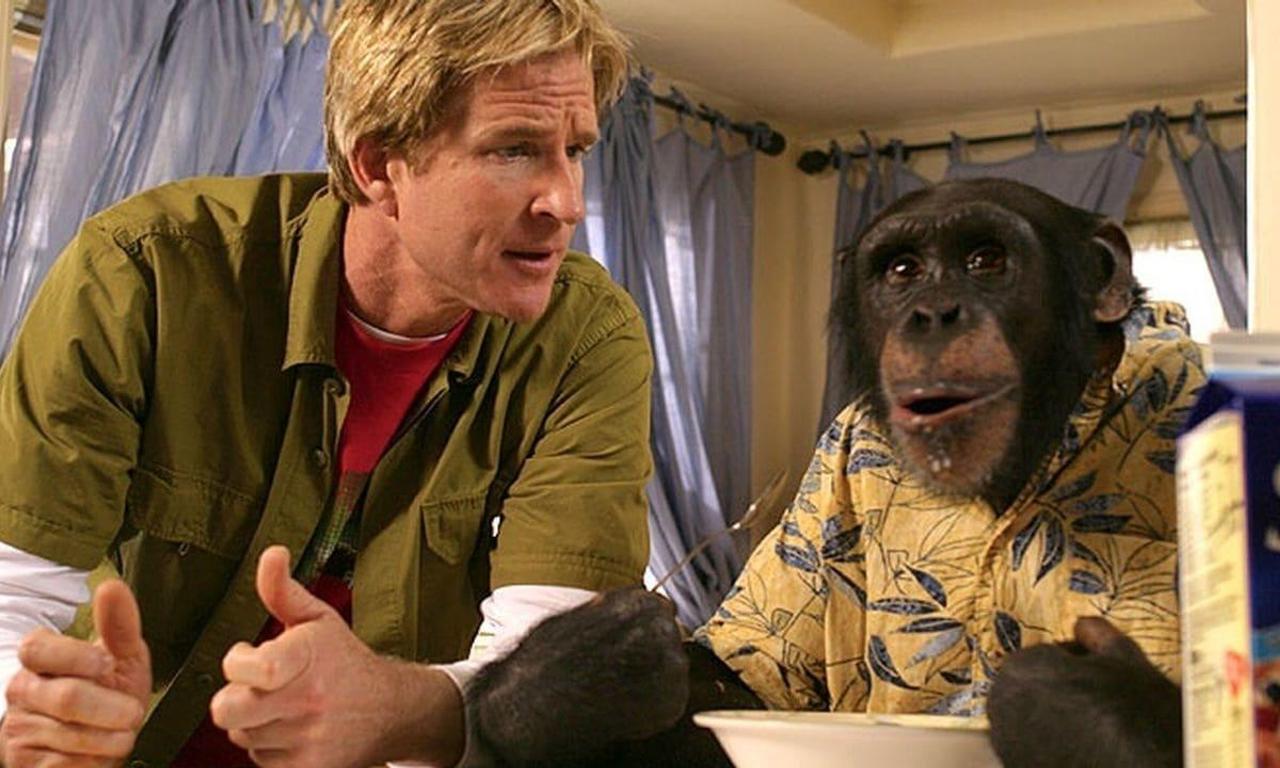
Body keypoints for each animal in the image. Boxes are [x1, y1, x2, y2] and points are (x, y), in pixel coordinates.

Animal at [465, 178, 1204, 767]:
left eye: (986, 260)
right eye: (903, 270)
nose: (933, 313)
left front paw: (1080, 706)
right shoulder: (834, 457)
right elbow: (745, 685)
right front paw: (571, 682)